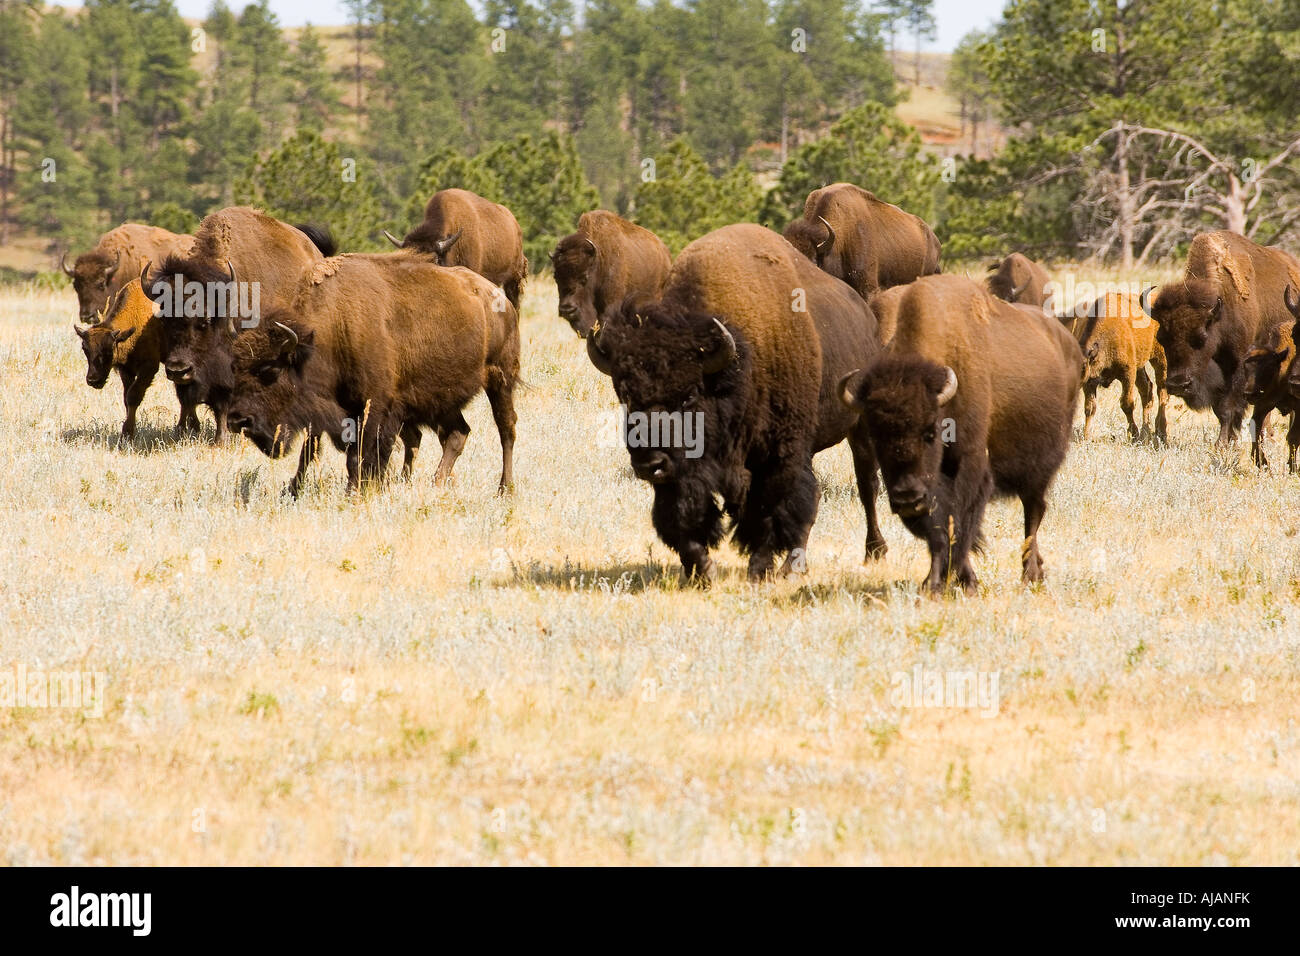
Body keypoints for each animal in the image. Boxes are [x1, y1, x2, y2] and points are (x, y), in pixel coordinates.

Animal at [225, 254, 519, 497]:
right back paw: (435, 483)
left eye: (270, 370)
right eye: (235, 368)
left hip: (501, 379)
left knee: (506, 429)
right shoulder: (326, 407)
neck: (335, 328)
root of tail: (500, 300)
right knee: (458, 433)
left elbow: (361, 454)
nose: (238, 420)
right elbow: (311, 451)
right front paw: (293, 491)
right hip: (442, 399)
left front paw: (356, 491)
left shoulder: (373, 407)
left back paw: (504, 489)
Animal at [584, 223, 888, 582]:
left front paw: (758, 570)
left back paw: (867, 553)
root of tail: (867, 318)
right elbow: (681, 516)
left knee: (864, 485)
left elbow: (768, 511)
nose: (650, 464)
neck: (737, 365)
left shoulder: (776, 457)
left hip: (860, 427)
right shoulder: (684, 472)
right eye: (626, 395)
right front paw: (702, 570)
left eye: (689, 395)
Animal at [840, 275, 1082, 594]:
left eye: (930, 432)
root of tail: (1067, 341)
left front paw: (960, 582)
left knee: (1033, 511)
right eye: (878, 437)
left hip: (1043, 464)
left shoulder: (971, 465)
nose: (907, 498)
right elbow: (938, 527)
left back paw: (1030, 574)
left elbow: (960, 520)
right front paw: (939, 581)